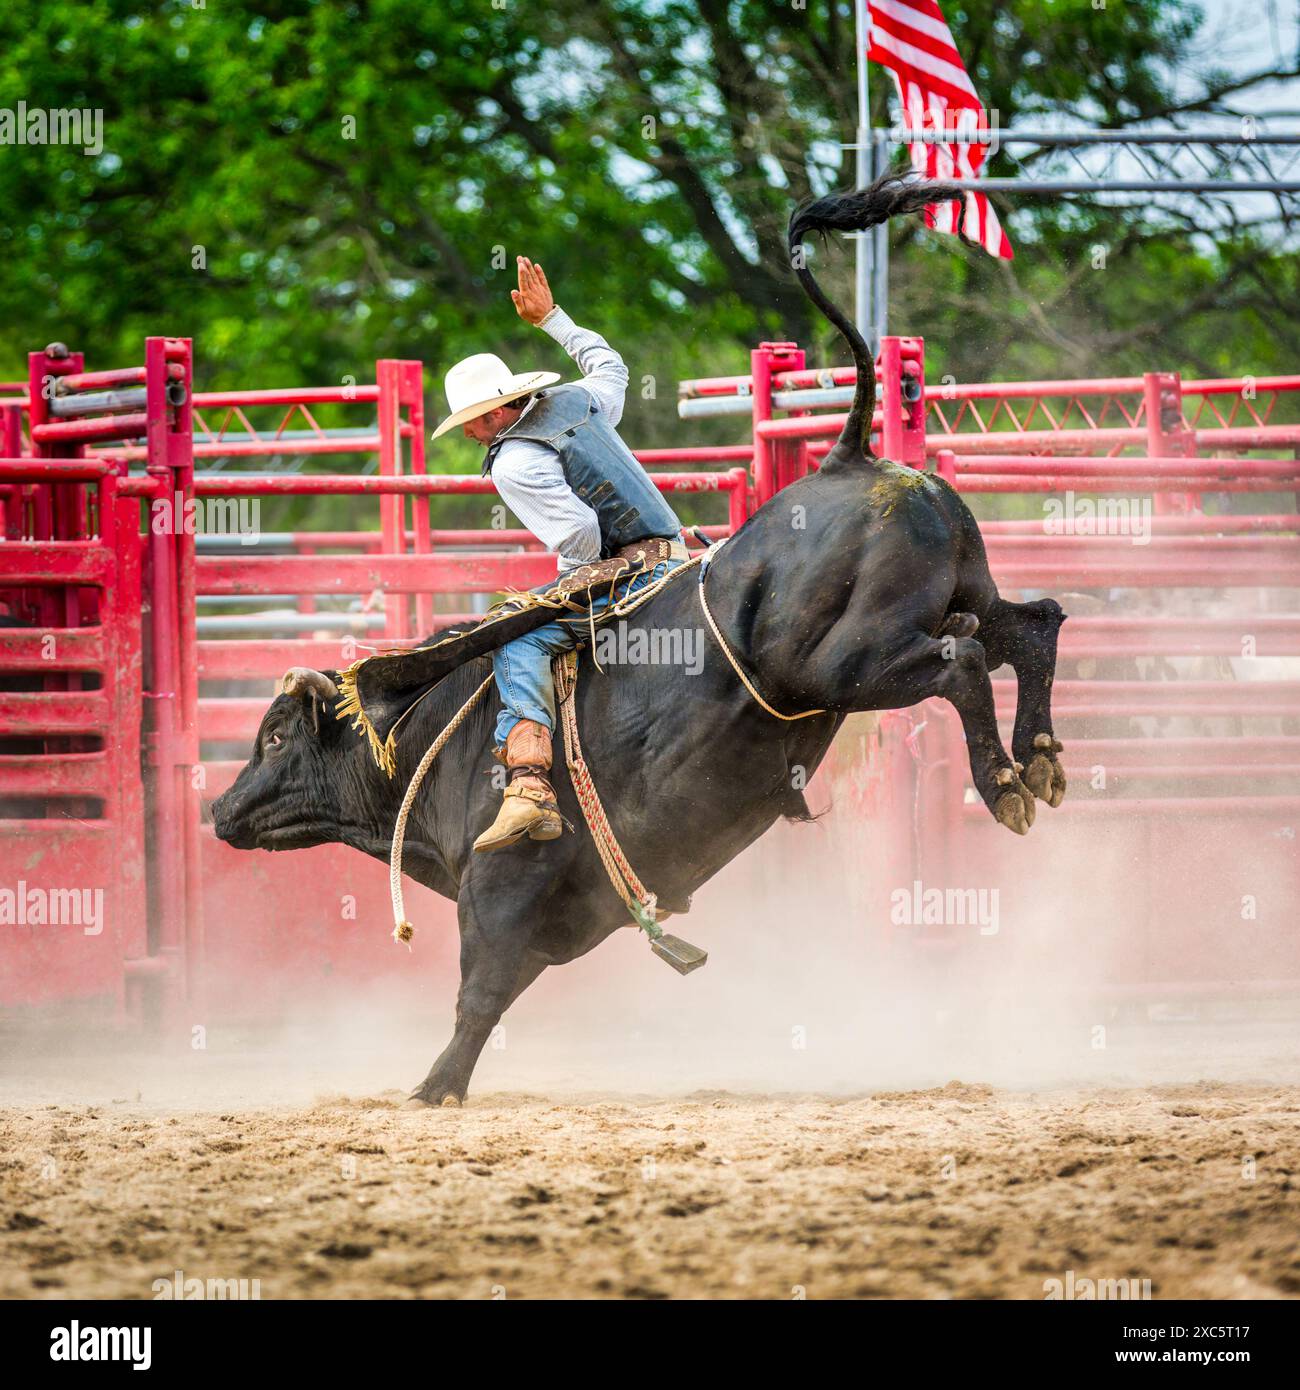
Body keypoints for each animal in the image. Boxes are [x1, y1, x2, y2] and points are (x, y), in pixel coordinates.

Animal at [212, 175, 1066, 1106]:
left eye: (275, 737)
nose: (219, 809)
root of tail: (851, 460)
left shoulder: (501, 887)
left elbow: (479, 990)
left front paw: (435, 1087)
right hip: (965, 594)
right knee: (1035, 626)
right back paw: (1040, 759)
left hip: (845, 664)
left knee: (964, 662)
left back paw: (1002, 785)